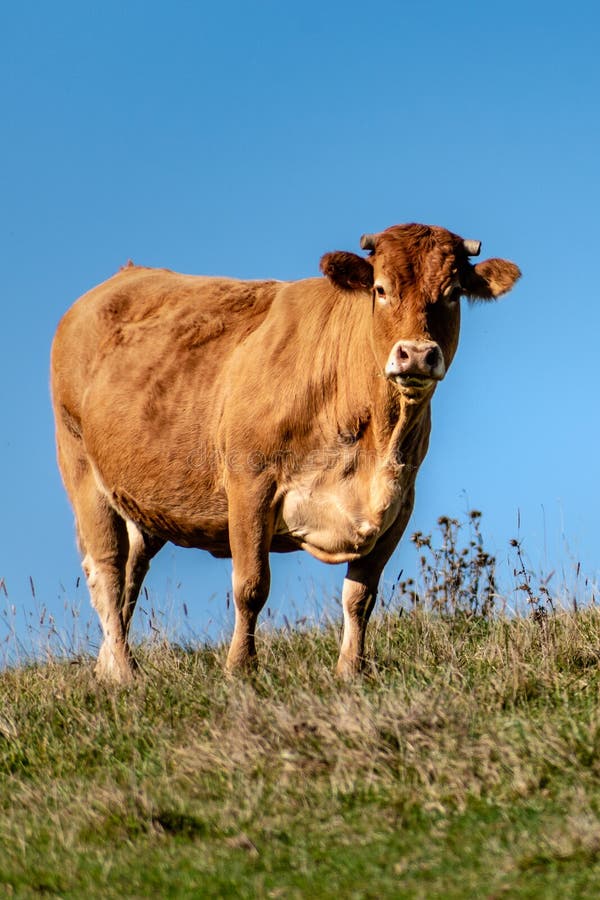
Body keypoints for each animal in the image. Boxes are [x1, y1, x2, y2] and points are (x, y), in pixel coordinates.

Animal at [50, 223, 520, 683]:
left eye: (453, 292)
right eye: (381, 289)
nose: (417, 355)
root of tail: (121, 278)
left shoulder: (400, 503)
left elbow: (360, 595)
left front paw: (351, 671)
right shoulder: (250, 482)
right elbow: (251, 586)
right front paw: (241, 669)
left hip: (143, 498)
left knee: (132, 569)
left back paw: (106, 668)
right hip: (80, 466)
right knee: (107, 570)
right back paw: (126, 672)